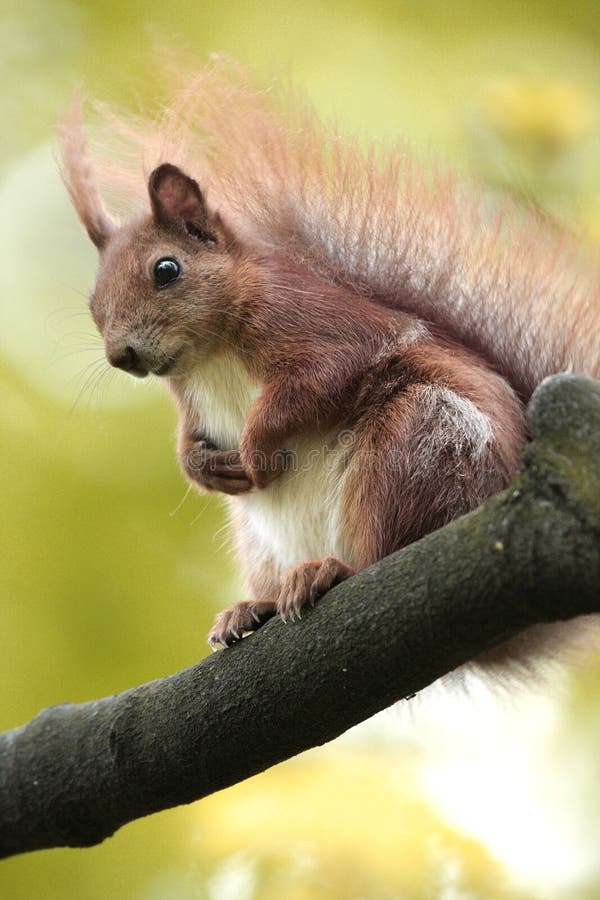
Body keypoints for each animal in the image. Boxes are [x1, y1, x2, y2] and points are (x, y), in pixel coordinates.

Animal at [60, 62, 599, 670]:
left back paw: (331, 569)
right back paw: (253, 608)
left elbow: (319, 381)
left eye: (166, 269)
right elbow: (188, 440)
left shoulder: (322, 326)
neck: (211, 357)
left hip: (424, 442)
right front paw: (202, 466)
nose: (121, 356)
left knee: (384, 551)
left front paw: (256, 448)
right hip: (262, 539)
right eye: (92, 303)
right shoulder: (190, 398)